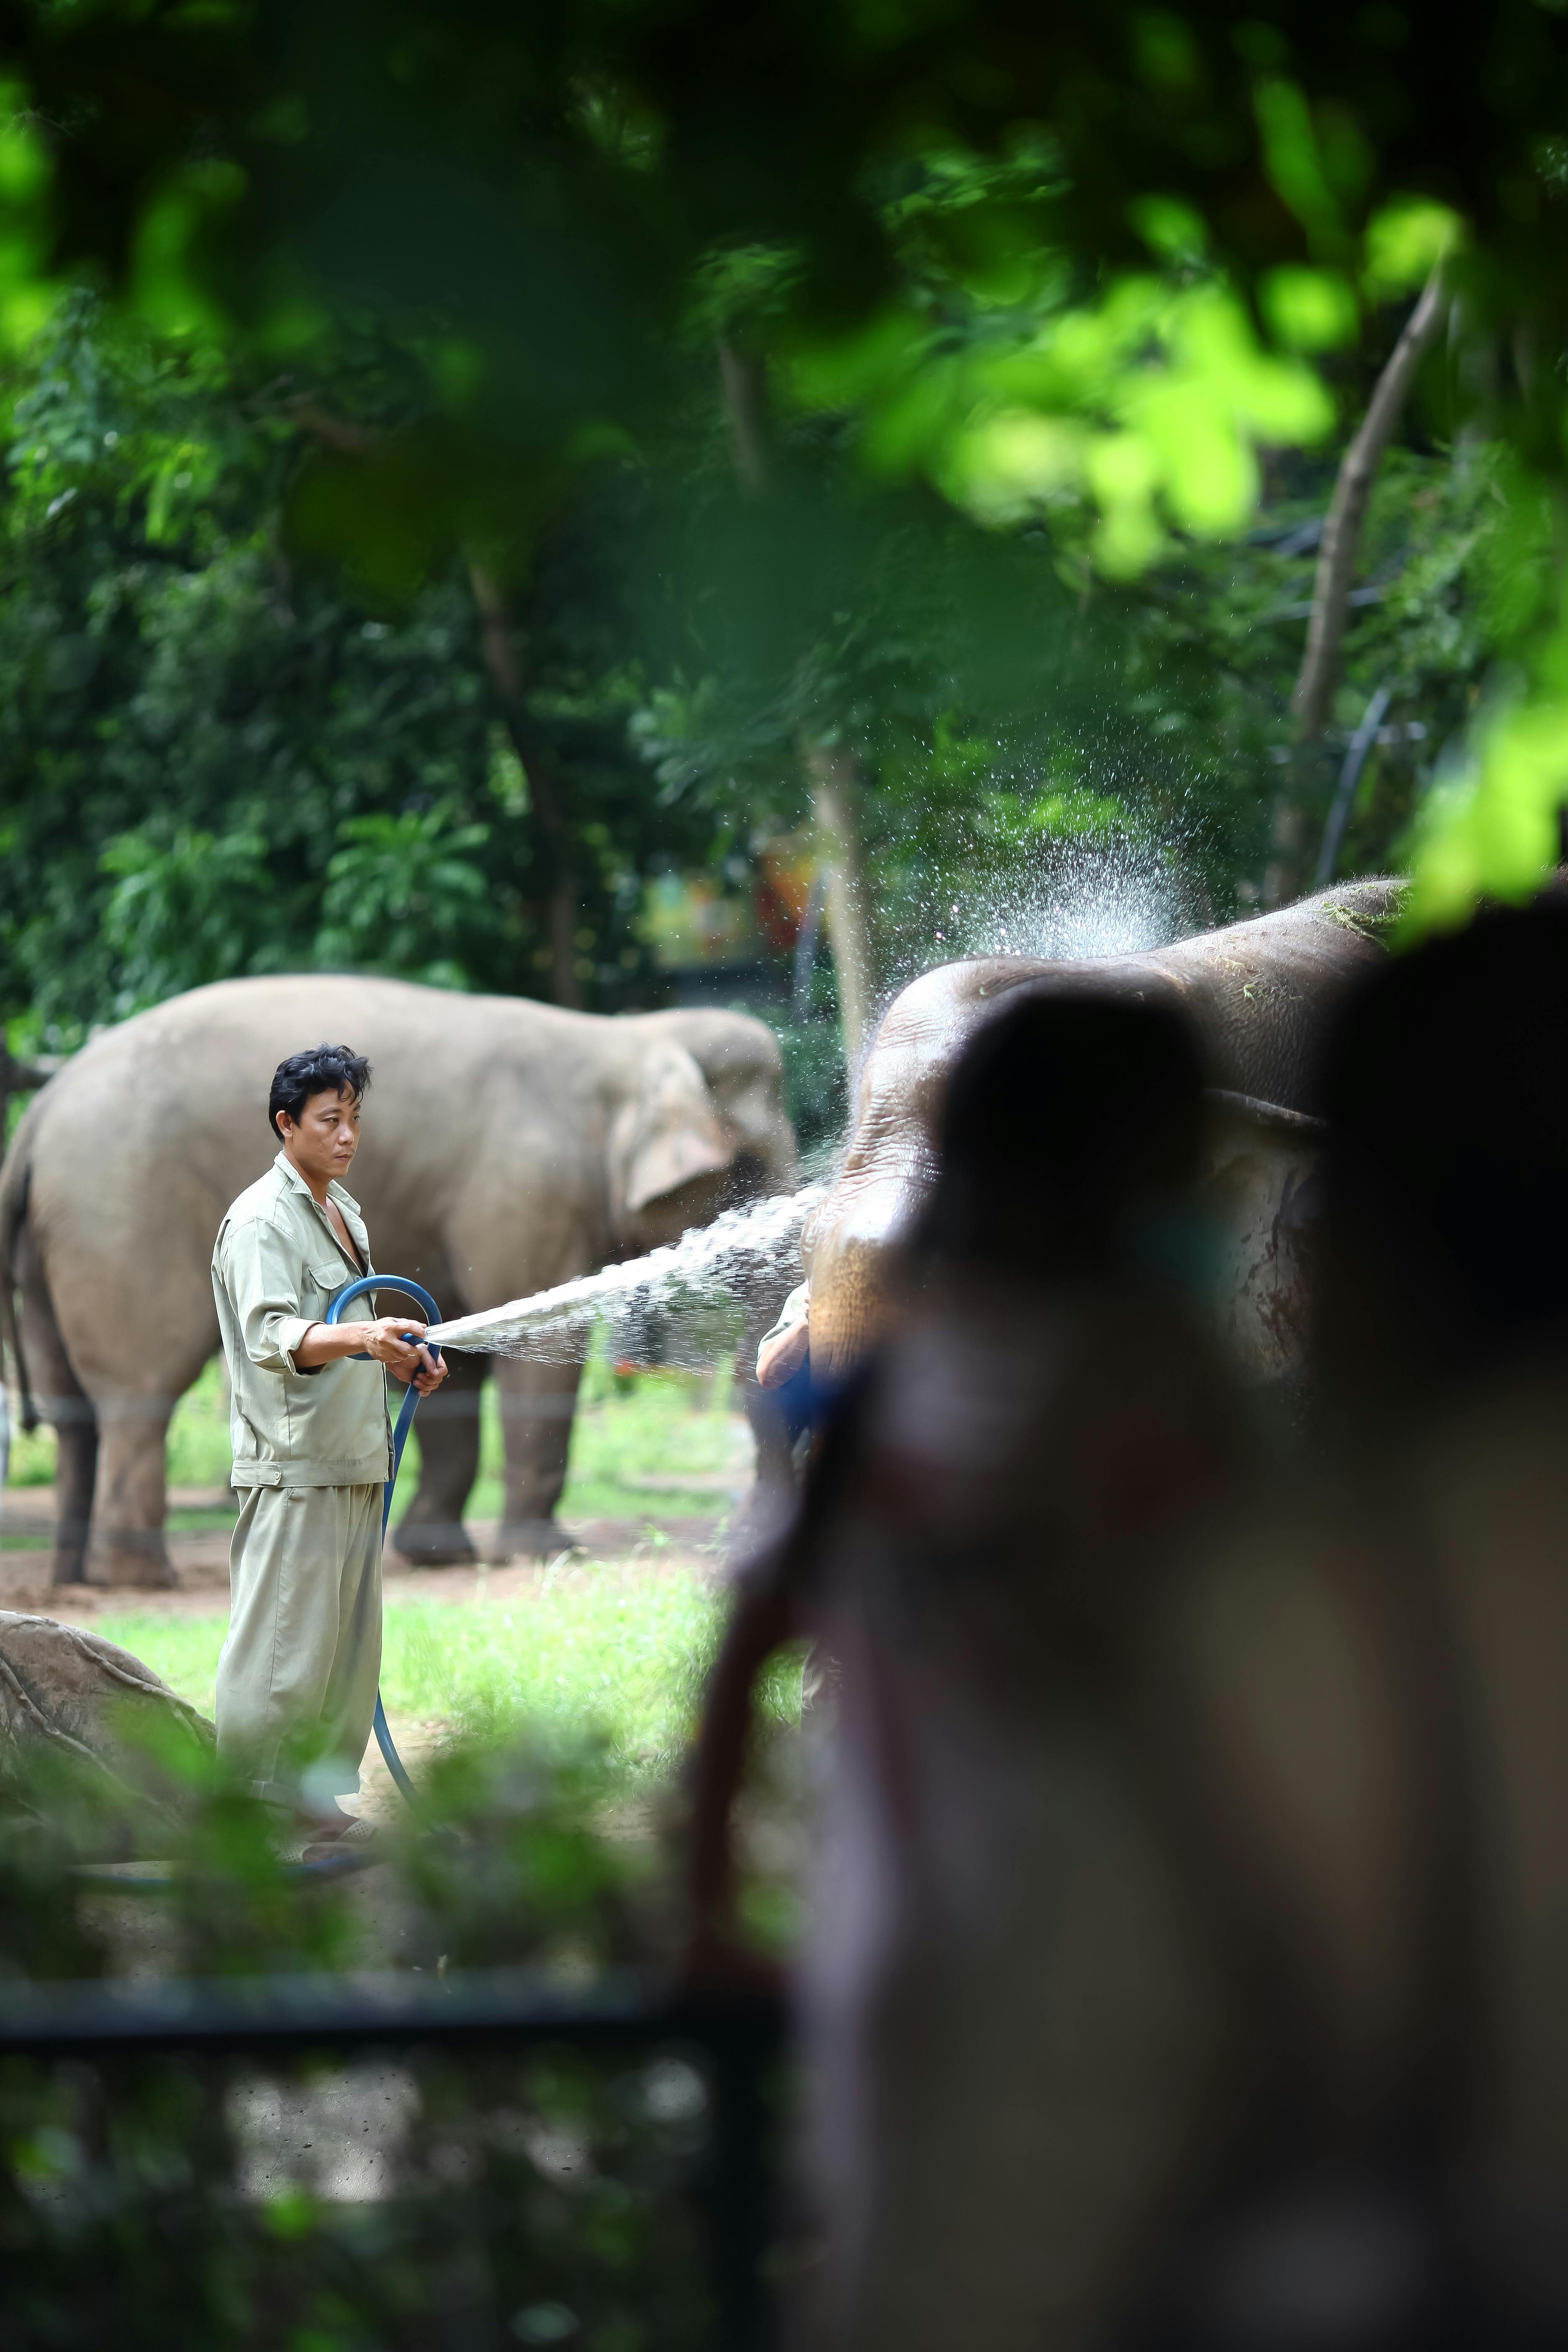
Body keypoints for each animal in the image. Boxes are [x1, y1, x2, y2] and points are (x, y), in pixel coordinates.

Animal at [0, 976, 797, 1588]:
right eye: (746, 1169)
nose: (747, 1535)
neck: (627, 1038)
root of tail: (37, 1115)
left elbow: (463, 1367)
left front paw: (439, 1554)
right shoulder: (526, 1189)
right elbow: (541, 1365)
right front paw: (549, 1554)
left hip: (59, 1240)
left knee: (72, 1409)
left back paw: (74, 1578)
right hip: (119, 1218)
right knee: (139, 1392)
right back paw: (142, 1577)